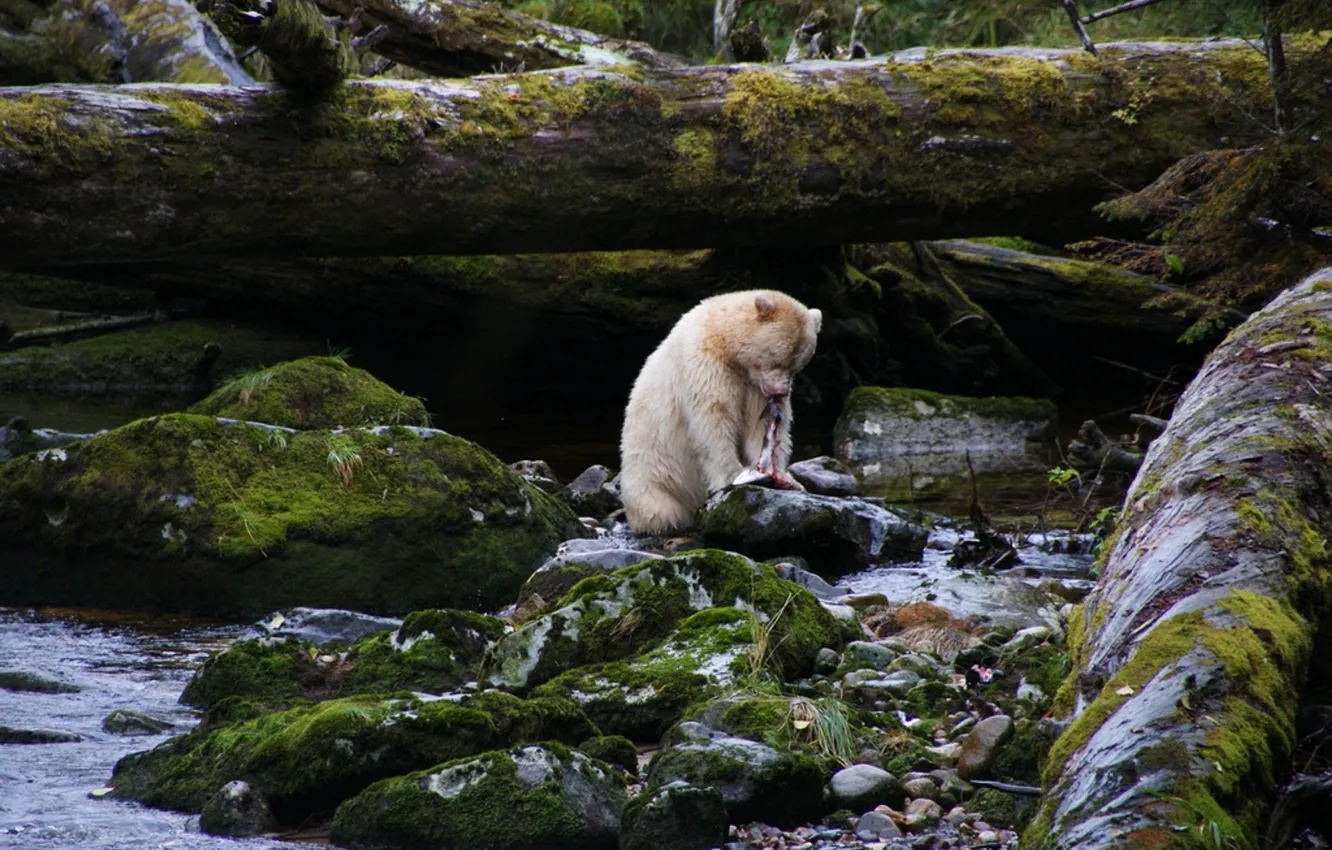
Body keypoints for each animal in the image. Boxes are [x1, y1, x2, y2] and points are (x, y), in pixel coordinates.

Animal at [618, 289, 822, 535]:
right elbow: (713, 421)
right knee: (658, 509)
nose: (780, 392)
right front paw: (734, 476)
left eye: (797, 365)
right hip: (652, 475)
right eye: (777, 359)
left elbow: (761, 426)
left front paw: (785, 478)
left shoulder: (755, 388)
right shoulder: (706, 365)